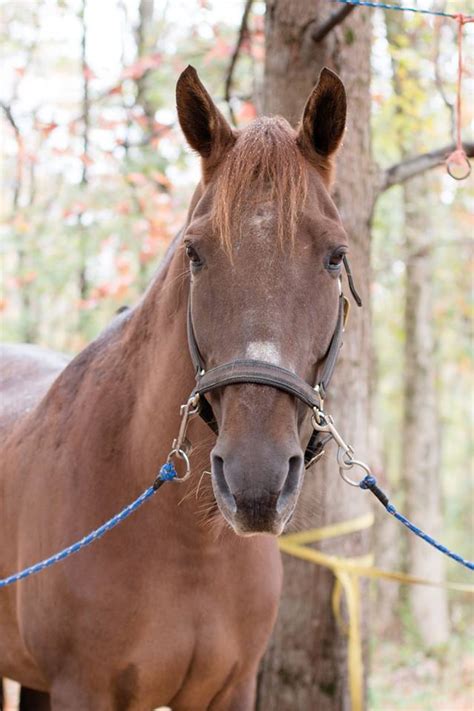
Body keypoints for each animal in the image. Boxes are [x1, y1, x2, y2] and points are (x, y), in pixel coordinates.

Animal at [0, 65, 349, 710]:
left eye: (336, 256)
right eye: (195, 253)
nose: (256, 481)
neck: (191, 543)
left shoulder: (231, 689)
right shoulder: (82, 689)